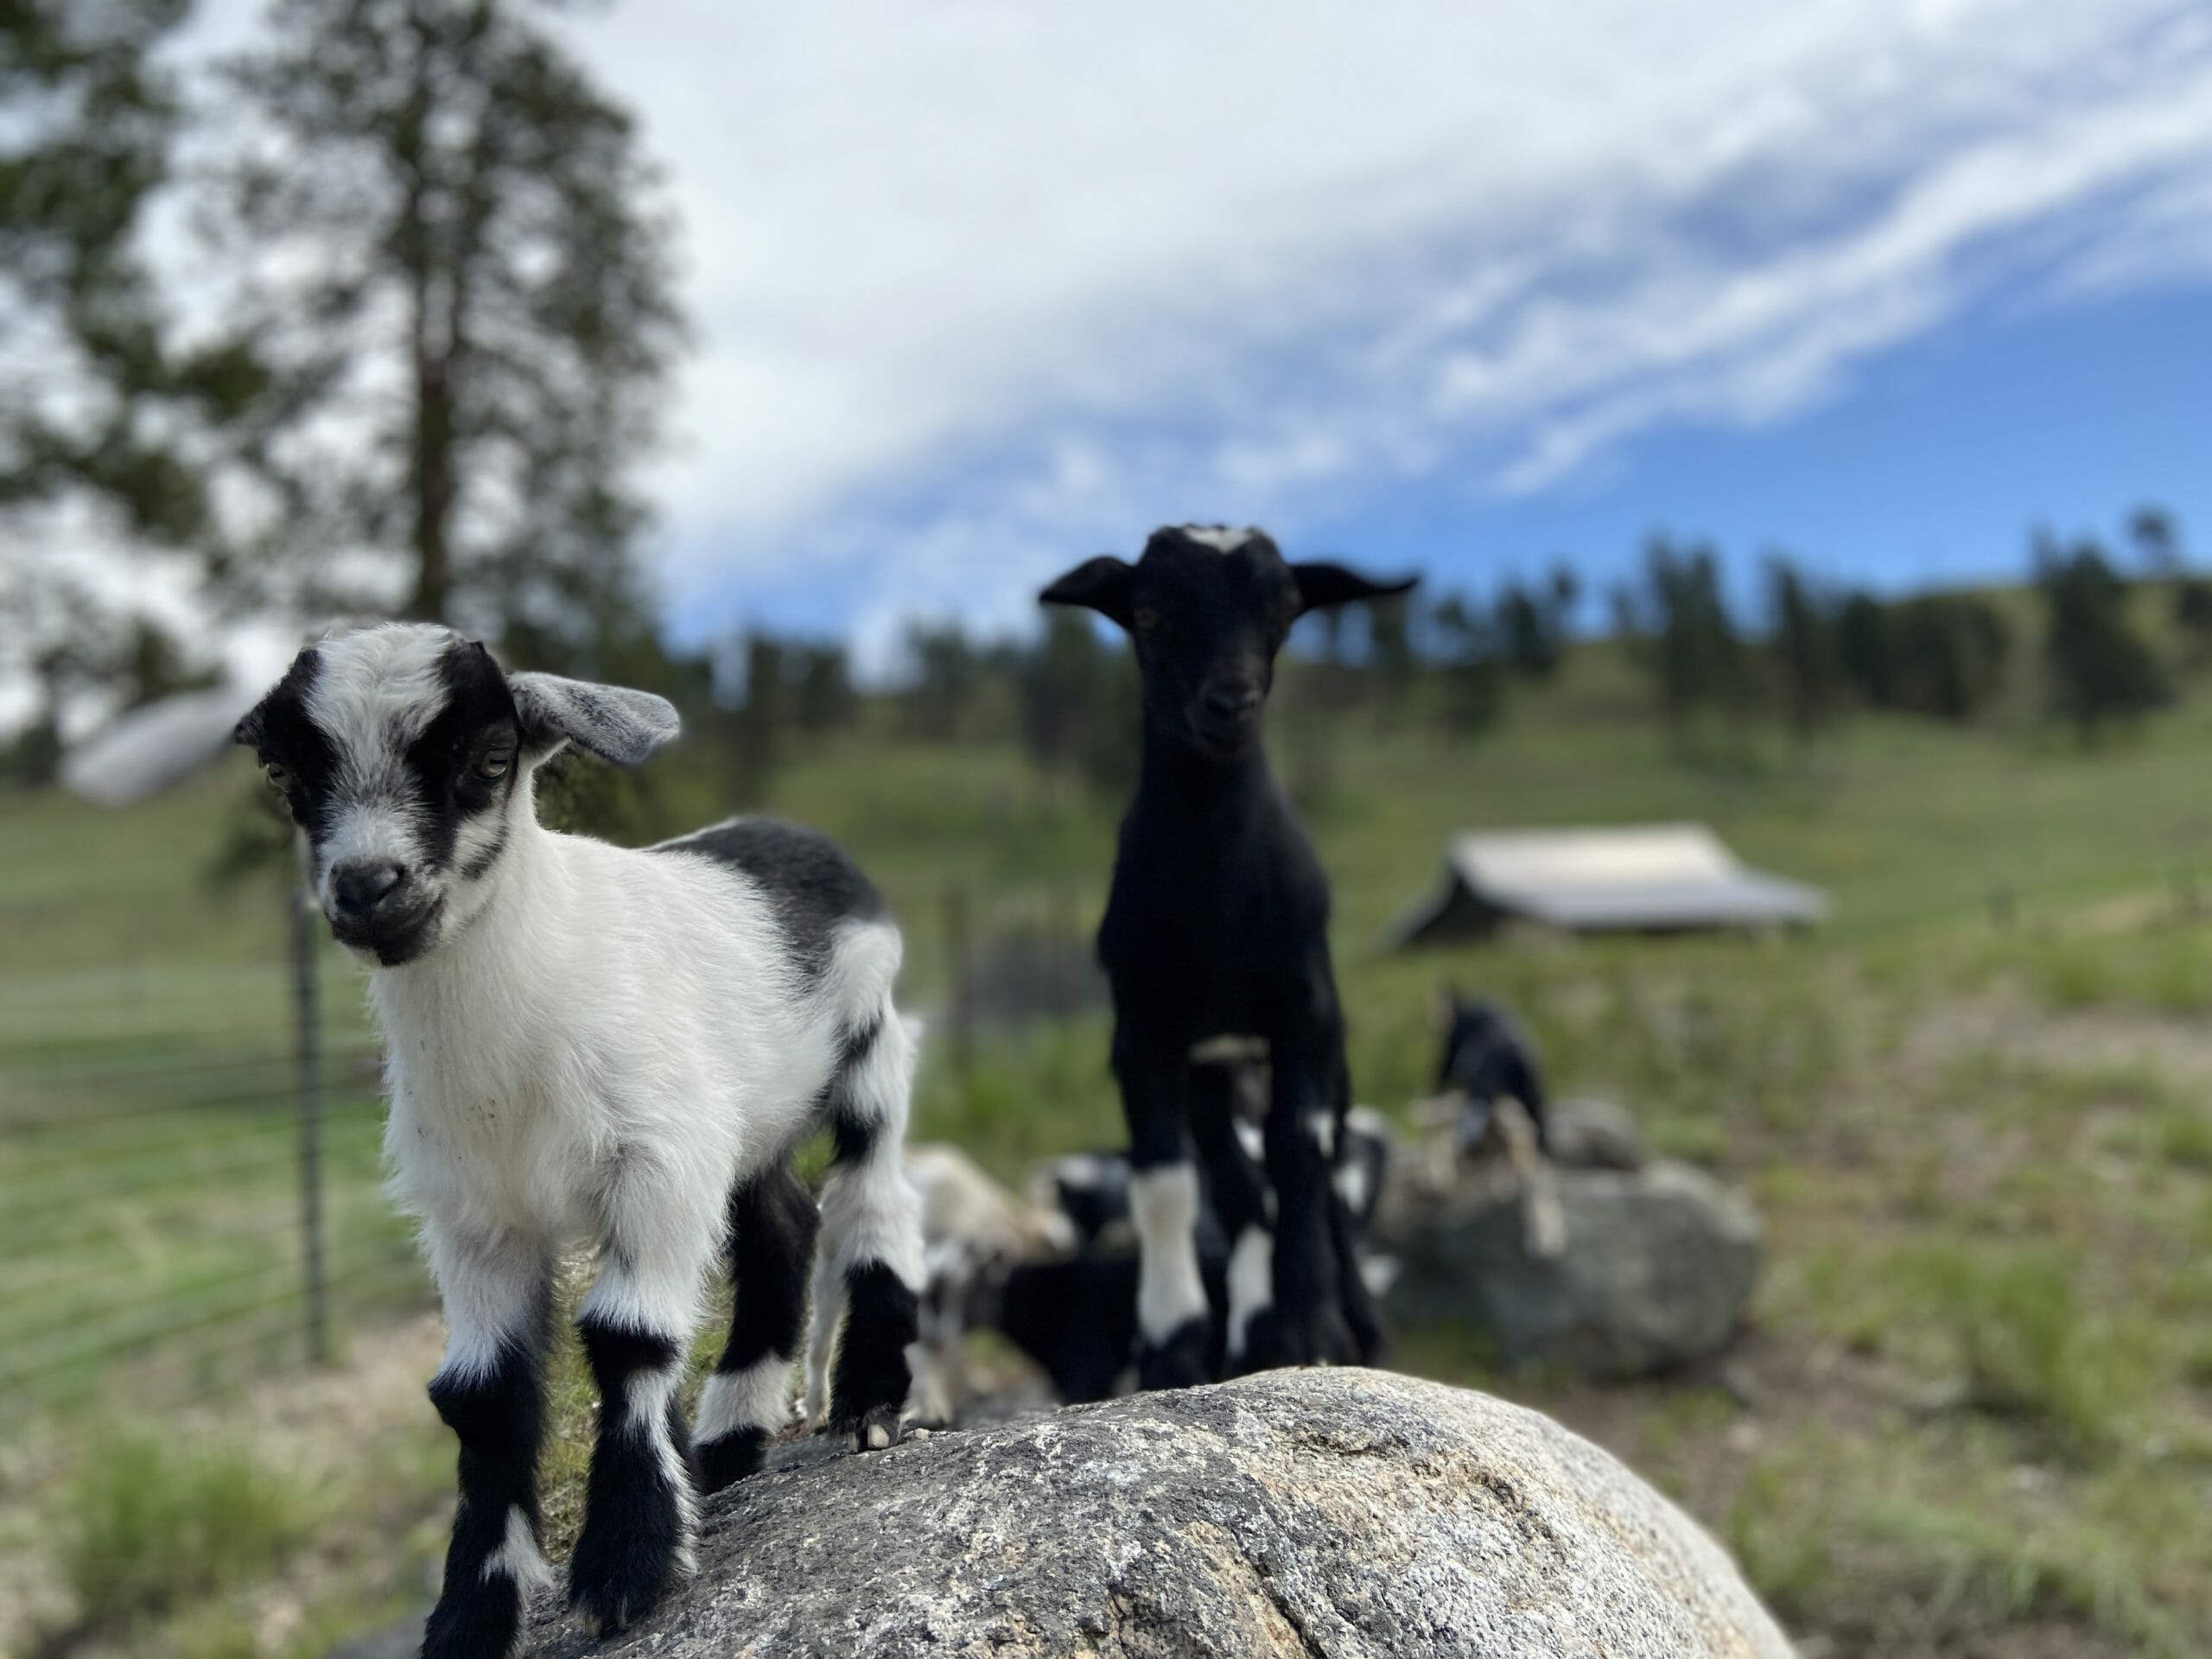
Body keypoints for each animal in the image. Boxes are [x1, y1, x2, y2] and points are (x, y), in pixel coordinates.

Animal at [234, 624, 925, 1658]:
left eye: (489, 759)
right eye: (284, 775)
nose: (367, 889)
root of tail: (794, 837)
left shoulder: (657, 1165)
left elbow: (628, 1336)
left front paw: (625, 1565)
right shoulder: (472, 1217)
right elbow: (481, 1396)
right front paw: (472, 1615)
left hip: (869, 1042)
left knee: (874, 1198)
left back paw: (870, 1406)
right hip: (740, 1118)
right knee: (784, 1225)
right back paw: (727, 1443)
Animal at [1039, 526, 1414, 1388]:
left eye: (1284, 606)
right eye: (1147, 612)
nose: (1230, 702)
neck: (1214, 901)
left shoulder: (1303, 1010)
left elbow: (1299, 1155)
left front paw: (1314, 1324)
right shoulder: (1141, 1031)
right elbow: (1166, 1183)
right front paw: (1174, 1342)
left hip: (1326, 1058)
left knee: (1320, 1169)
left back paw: (1350, 1316)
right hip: (1211, 1069)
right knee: (1238, 1184)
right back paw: (1249, 1320)